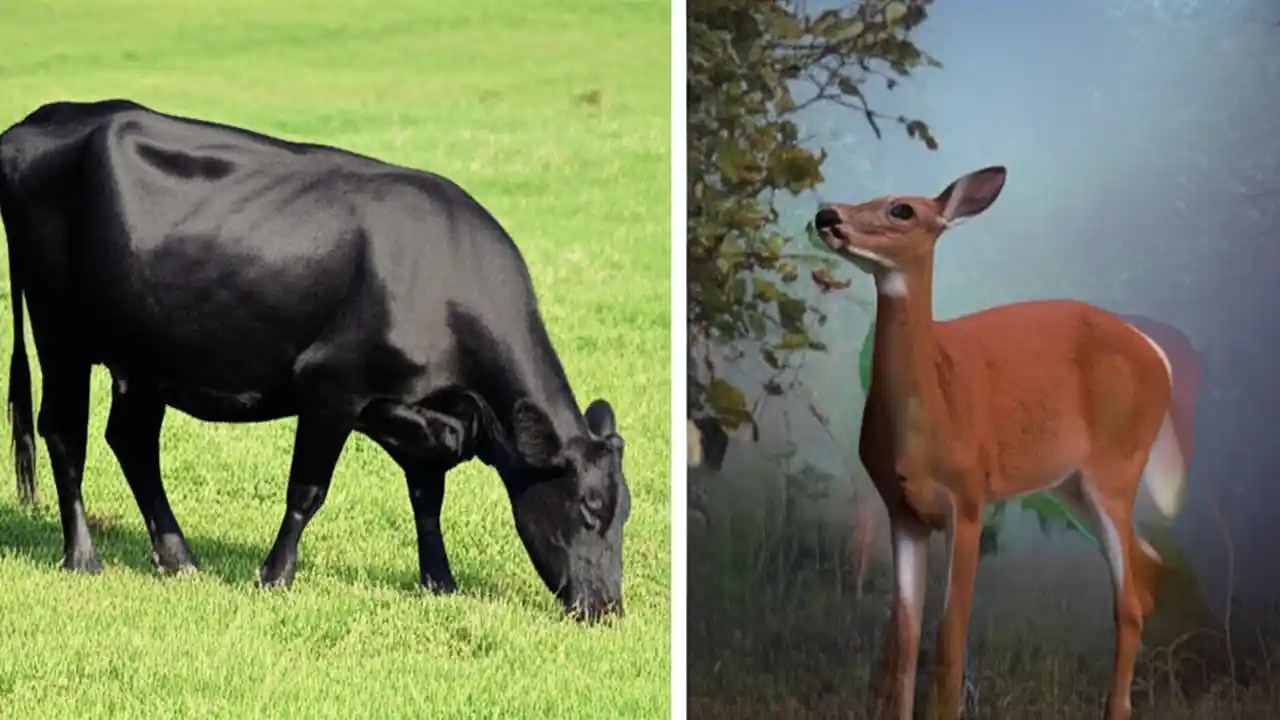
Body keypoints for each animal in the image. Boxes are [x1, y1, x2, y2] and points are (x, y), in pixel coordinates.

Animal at [0, 99, 631, 620]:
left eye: (624, 513)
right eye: (591, 508)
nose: (607, 608)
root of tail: (42, 119)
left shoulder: (420, 408)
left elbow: (428, 496)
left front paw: (440, 582)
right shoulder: (333, 386)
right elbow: (308, 490)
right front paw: (275, 575)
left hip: (145, 357)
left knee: (131, 440)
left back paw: (178, 558)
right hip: (60, 333)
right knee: (64, 433)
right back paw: (83, 557)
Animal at [813, 167, 1195, 720]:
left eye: (902, 209)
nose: (826, 215)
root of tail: (1158, 357)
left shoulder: (968, 497)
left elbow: (949, 638)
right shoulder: (902, 509)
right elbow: (902, 640)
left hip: (1117, 467)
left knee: (1128, 601)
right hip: (1071, 488)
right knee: (1145, 575)